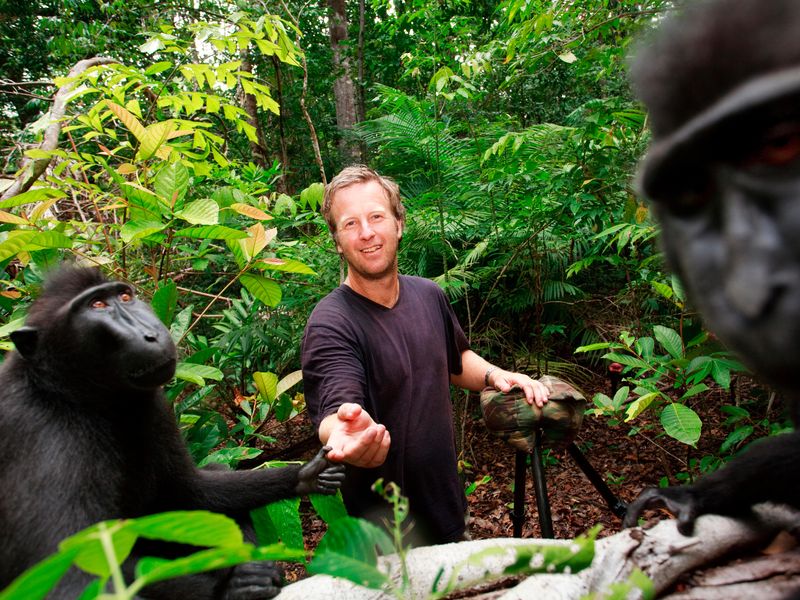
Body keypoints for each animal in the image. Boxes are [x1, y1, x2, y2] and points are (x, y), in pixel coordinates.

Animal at [0, 266, 345, 598]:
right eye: (96, 305)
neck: (83, 395)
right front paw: (231, 586)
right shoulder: (46, 435)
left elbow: (193, 491)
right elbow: (71, 577)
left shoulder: (157, 406)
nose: (151, 334)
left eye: (124, 296)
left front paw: (306, 476)